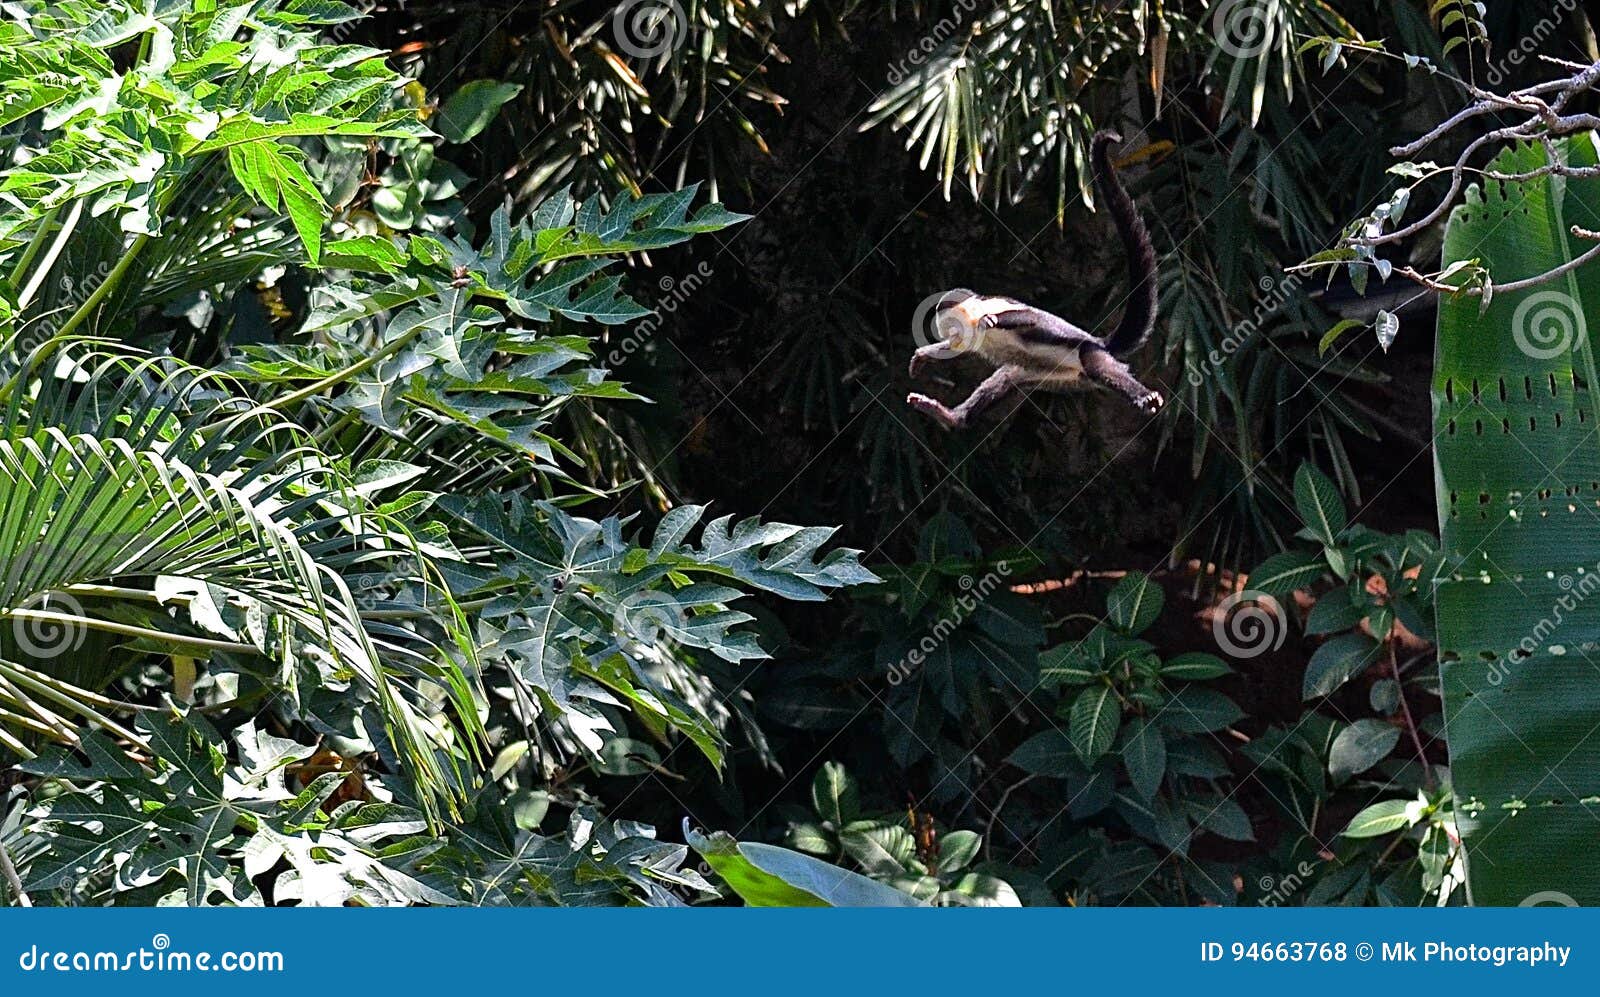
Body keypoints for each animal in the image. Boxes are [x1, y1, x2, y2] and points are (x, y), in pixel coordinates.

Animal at [907, 129, 1163, 431]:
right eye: (950, 333)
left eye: (951, 324)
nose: (952, 334)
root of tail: (1099, 341)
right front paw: (928, 353)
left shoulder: (989, 305)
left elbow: (1025, 317)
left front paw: (991, 321)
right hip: (1057, 376)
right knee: (1008, 379)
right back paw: (952, 417)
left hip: (1087, 353)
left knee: (1096, 363)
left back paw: (1142, 396)